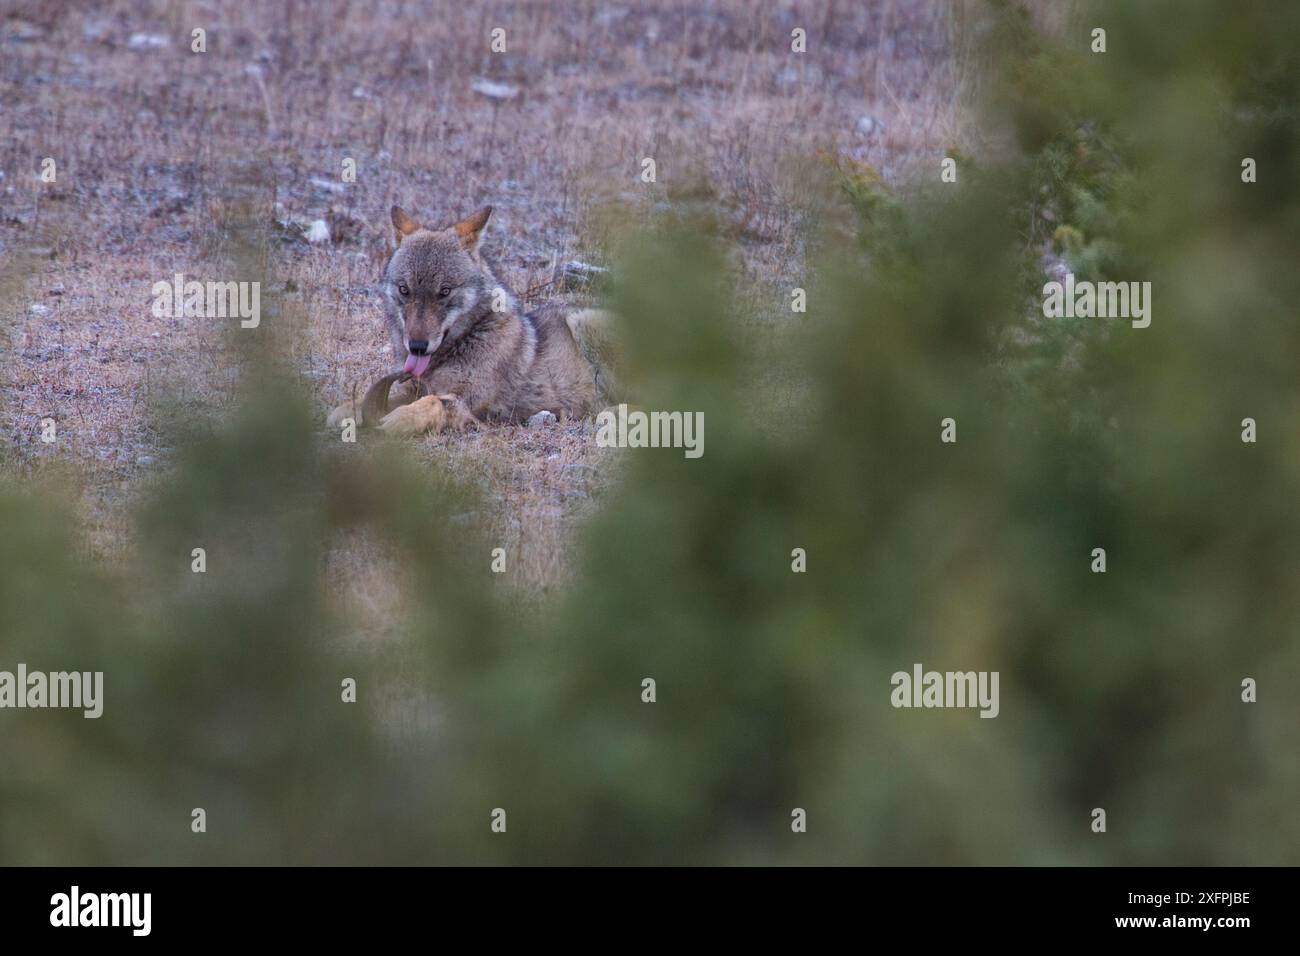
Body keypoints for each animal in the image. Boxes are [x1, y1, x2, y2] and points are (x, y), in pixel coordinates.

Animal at [328, 205, 616, 435]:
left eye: (444, 291)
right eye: (404, 290)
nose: (417, 347)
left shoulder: (475, 405)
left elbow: (434, 402)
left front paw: (400, 419)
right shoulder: (414, 388)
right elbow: (361, 400)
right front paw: (343, 412)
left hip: (582, 322)